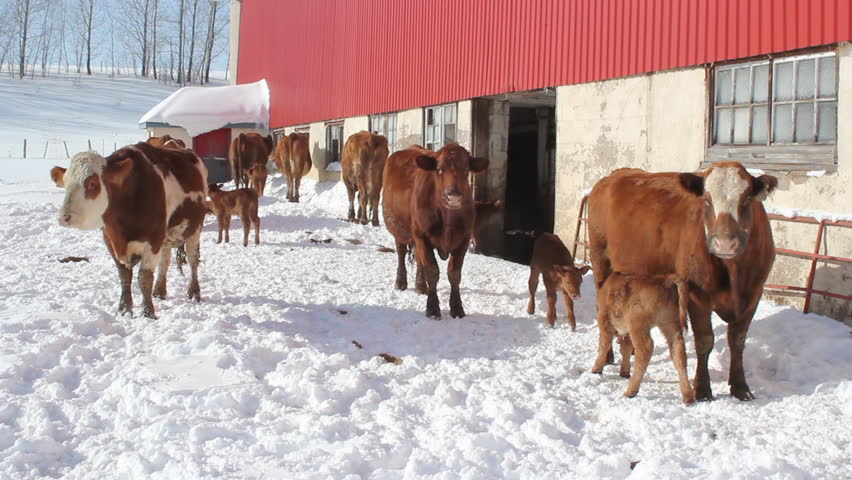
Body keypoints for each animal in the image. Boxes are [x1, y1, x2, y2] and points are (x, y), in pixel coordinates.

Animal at [51, 143, 208, 318]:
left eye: (92, 183)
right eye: (65, 183)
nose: (64, 217)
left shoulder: (153, 241)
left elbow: (144, 278)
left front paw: (148, 312)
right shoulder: (110, 240)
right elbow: (124, 276)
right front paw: (124, 310)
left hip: (195, 229)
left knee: (193, 260)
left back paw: (194, 291)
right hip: (166, 237)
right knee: (165, 262)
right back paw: (159, 290)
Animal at [382, 143, 488, 319]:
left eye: (466, 169)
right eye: (439, 169)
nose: (453, 196)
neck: (448, 218)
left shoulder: (463, 240)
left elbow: (454, 274)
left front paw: (457, 308)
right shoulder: (422, 236)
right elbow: (432, 270)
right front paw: (432, 308)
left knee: (419, 260)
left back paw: (420, 286)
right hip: (399, 230)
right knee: (401, 253)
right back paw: (401, 282)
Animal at [592, 272, 694, 404]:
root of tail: (666, 280)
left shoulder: (604, 321)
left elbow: (604, 344)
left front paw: (596, 369)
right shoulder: (626, 332)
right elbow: (626, 348)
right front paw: (624, 372)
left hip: (637, 324)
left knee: (645, 349)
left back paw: (630, 391)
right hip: (671, 325)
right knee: (679, 353)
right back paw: (688, 395)